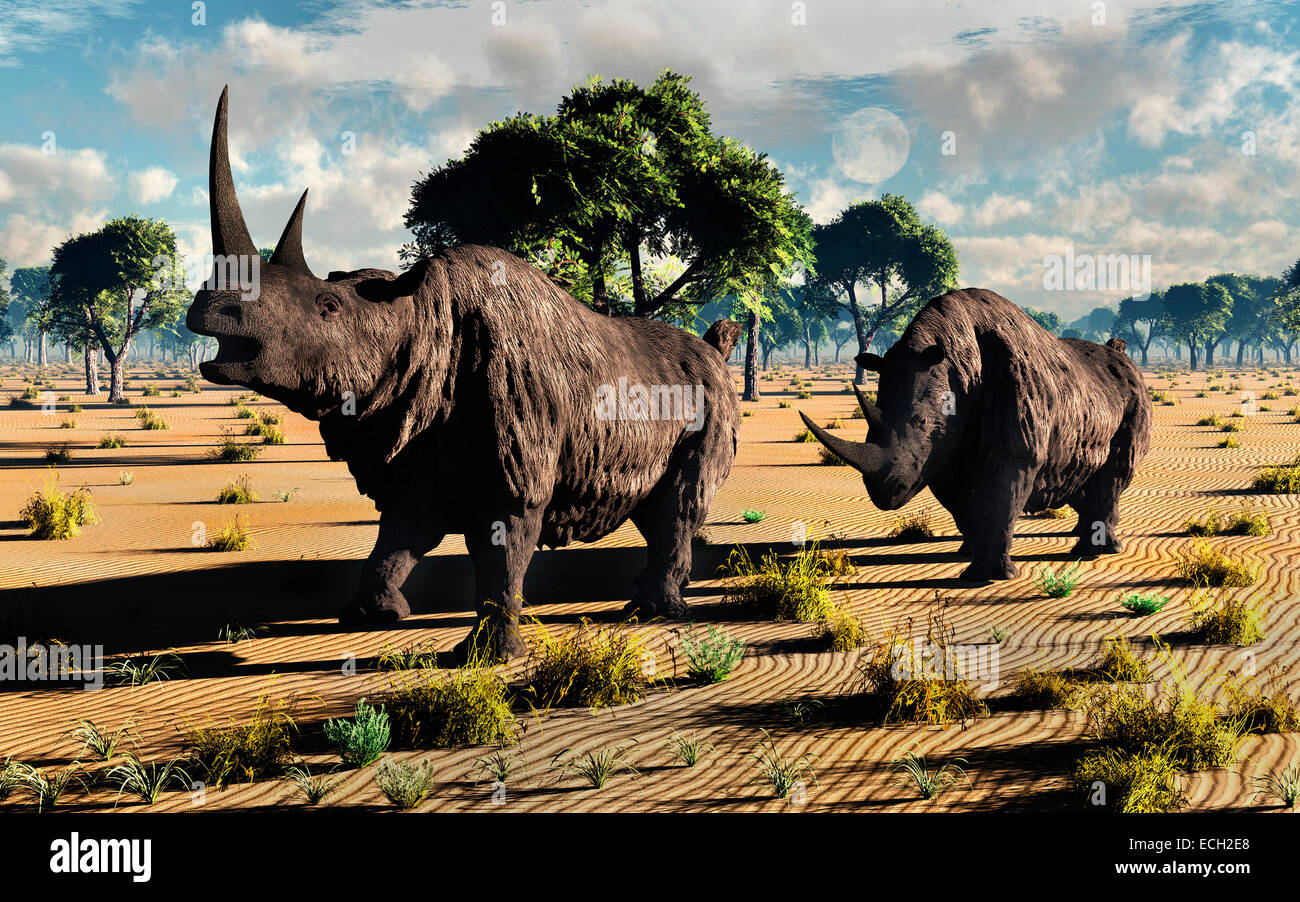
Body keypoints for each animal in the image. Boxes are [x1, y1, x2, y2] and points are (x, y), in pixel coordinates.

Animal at [187, 88, 742, 658]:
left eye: (328, 308)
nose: (211, 305)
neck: (417, 320)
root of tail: (714, 352)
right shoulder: (412, 443)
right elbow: (396, 539)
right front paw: (369, 616)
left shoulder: (517, 468)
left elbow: (501, 552)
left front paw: (488, 656)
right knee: (659, 510)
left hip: (713, 399)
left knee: (678, 506)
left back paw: (651, 611)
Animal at [801, 288, 1151, 581]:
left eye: (922, 423)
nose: (883, 493)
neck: (955, 357)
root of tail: (1125, 358)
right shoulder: (943, 453)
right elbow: (963, 506)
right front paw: (967, 554)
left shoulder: (1015, 451)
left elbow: (1002, 500)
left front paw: (987, 577)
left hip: (1134, 397)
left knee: (1115, 473)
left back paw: (1092, 552)